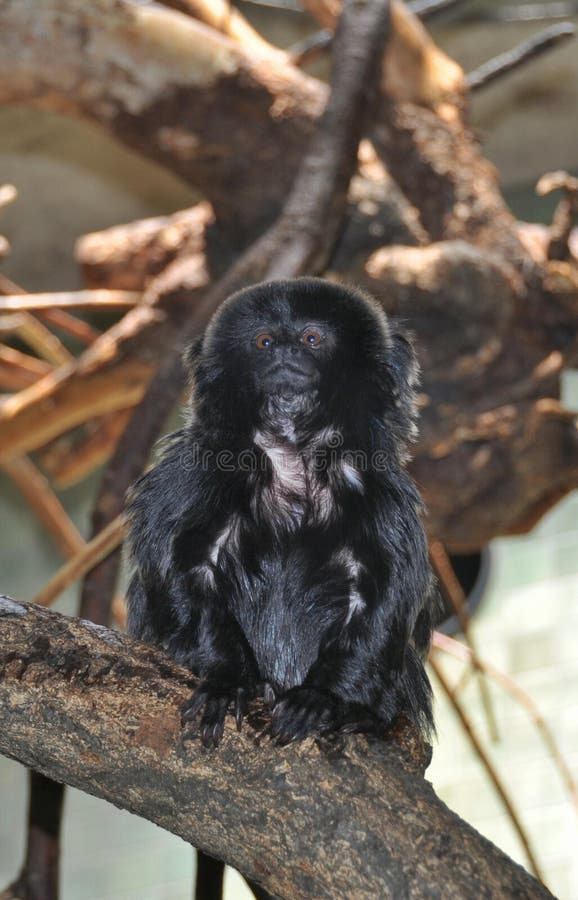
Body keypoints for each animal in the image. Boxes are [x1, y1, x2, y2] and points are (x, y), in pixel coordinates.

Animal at [126, 277, 434, 748]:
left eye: (311, 339)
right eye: (264, 342)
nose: (285, 352)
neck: (292, 452)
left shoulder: (382, 491)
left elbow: (383, 595)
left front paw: (324, 698)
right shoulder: (196, 472)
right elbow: (180, 566)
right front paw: (227, 678)